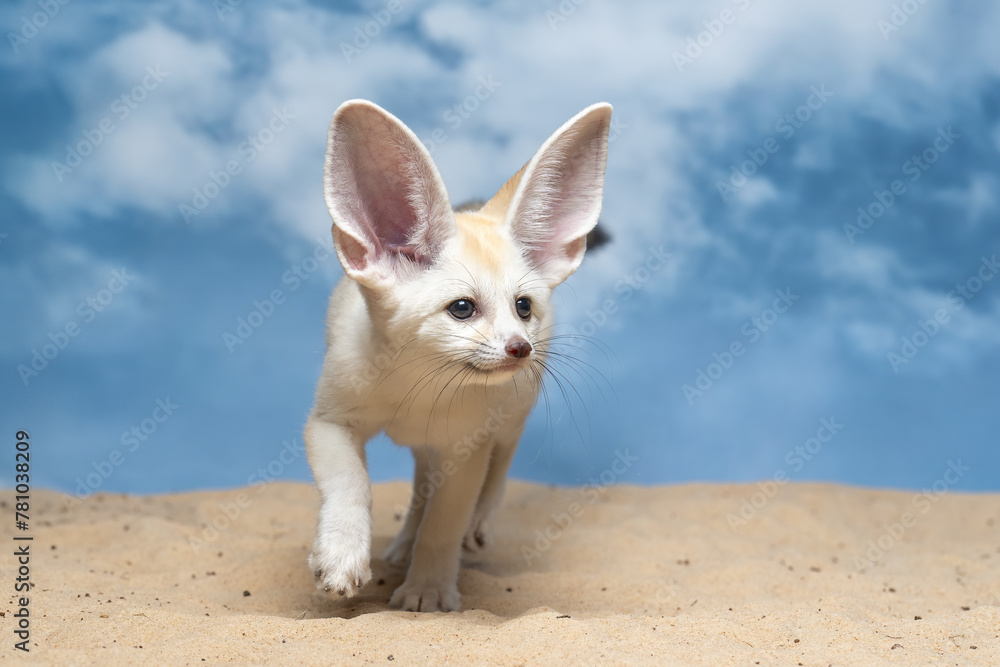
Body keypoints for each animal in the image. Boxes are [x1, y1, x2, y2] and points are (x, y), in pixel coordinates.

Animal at [306, 98, 612, 612]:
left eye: (523, 307)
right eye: (463, 308)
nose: (520, 348)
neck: (416, 387)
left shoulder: (466, 446)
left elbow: (444, 524)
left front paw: (427, 591)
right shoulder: (330, 421)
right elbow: (352, 486)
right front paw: (343, 554)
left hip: (513, 412)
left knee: (500, 463)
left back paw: (477, 523)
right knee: (419, 486)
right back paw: (401, 544)